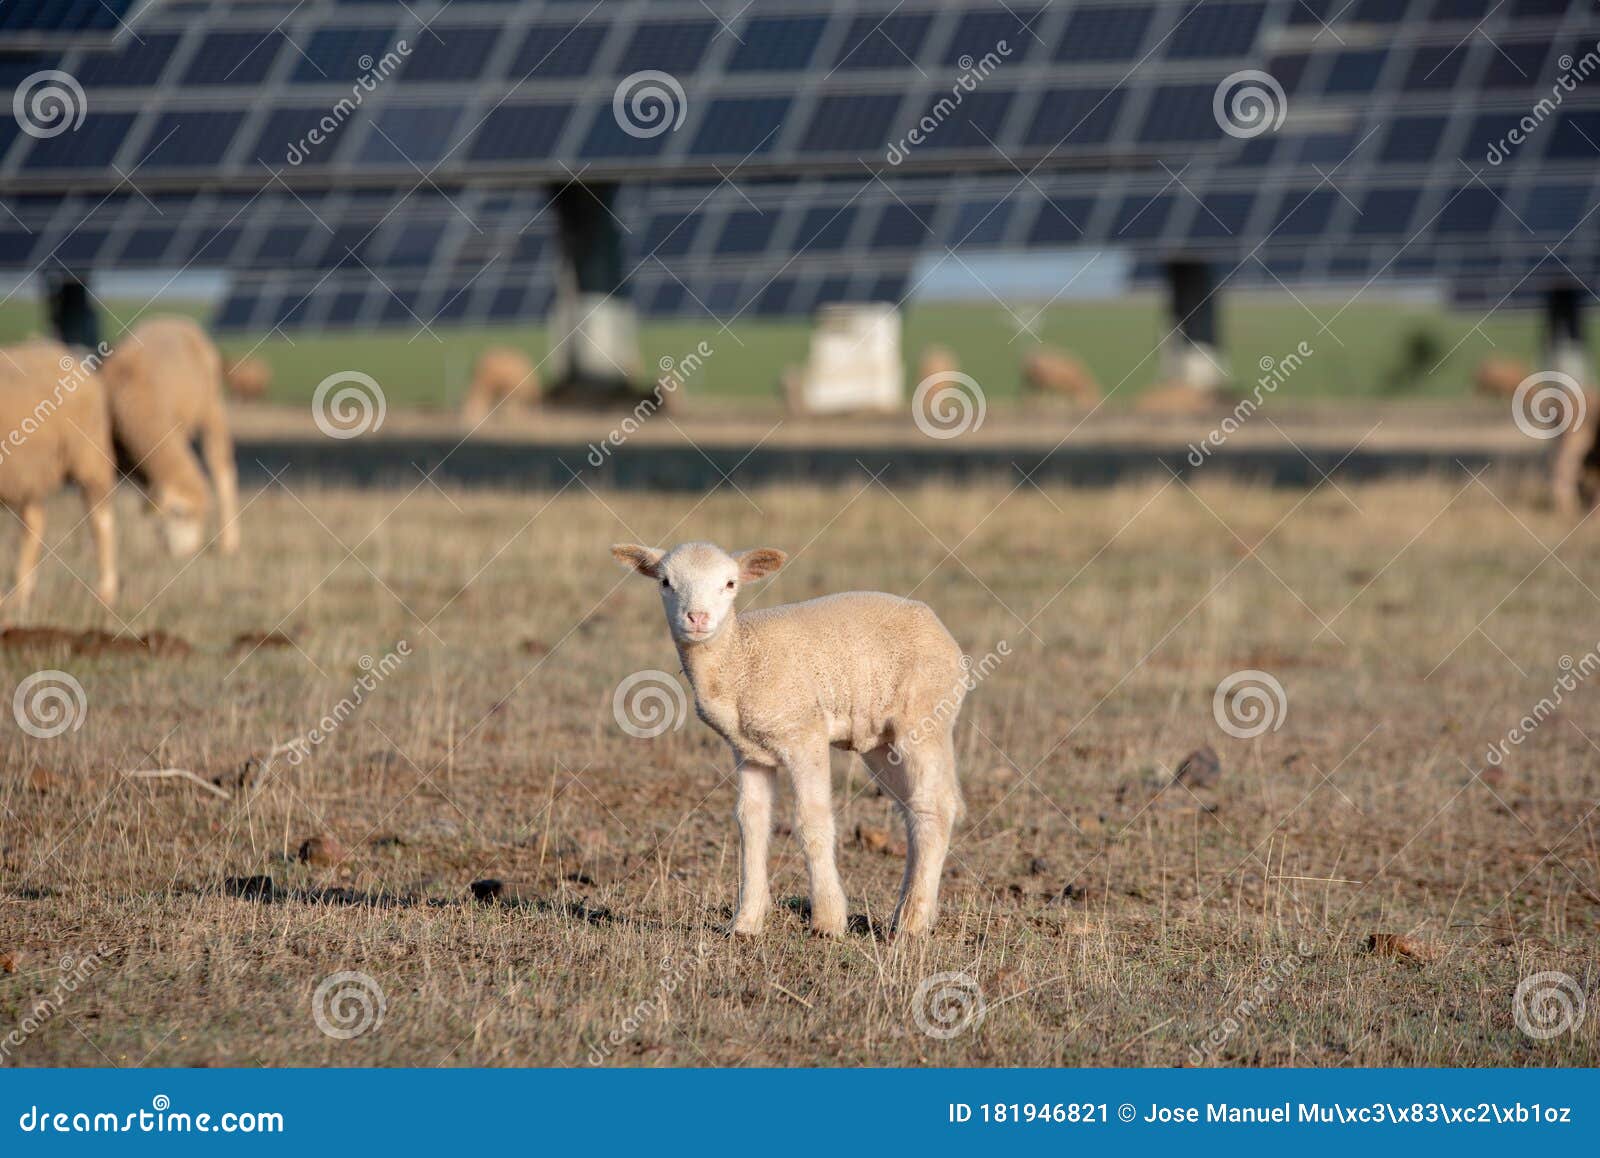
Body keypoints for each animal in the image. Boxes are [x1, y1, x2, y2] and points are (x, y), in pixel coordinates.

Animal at [0, 339, 118, 611]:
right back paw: (19, 596)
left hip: (89, 456)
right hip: (30, 472)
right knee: (34, 524)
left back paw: (105, 593)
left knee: (101, 521)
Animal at [99, 316, 238, 558]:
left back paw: (229, 543)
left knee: (222, 469)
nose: (189, 553)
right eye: (179, 513)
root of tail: (175, 319)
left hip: (211, 407)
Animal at [611, 541, 968, 937]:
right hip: (880, 742)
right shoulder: (747, 751)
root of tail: (942, 631)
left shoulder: (804, 735)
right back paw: (906, 912)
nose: (697, 618)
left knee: (935, 806)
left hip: (924, 717)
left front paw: (828, 920)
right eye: (665, 582)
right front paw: (746, 921)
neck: (738, 659)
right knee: (913, 810)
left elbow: (811, 821)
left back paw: (912, 922)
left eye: (730, 584)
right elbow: (750, 822)